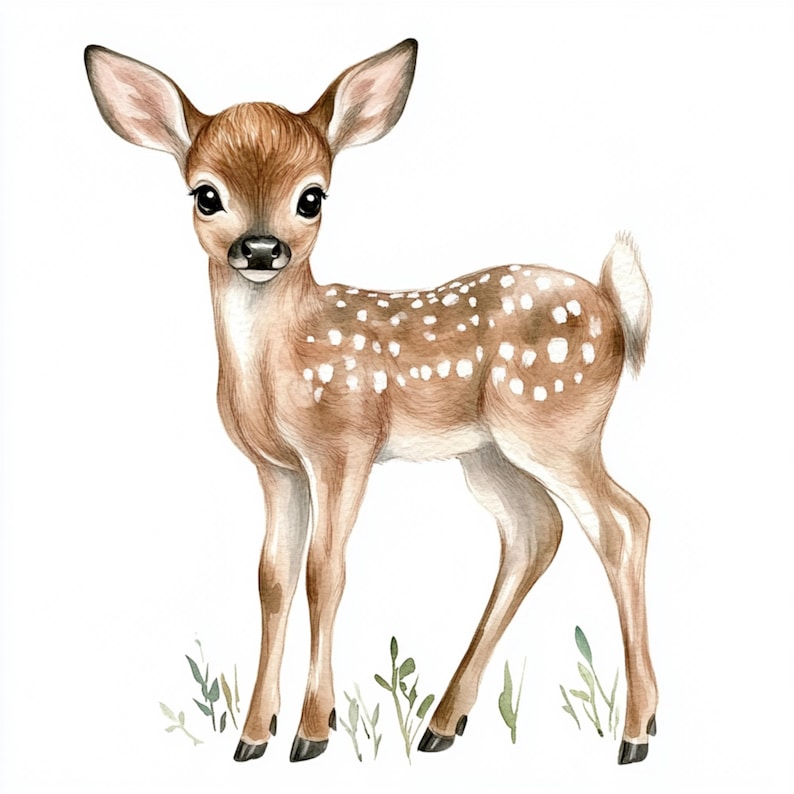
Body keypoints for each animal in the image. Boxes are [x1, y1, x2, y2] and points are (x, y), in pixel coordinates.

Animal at [84, 39, 657, 766]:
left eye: (312, 197)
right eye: (205, 194)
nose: (261, 248)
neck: (279, 364)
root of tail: (616, 306)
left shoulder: (344, 444)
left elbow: (324, 572)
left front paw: (312, 731)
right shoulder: (275, 466)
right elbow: (272, 577)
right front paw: (253, 735)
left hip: (556, 425)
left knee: (623, 522)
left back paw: (636, 732)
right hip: (490, 454)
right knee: (536, 532)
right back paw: (444, 723)